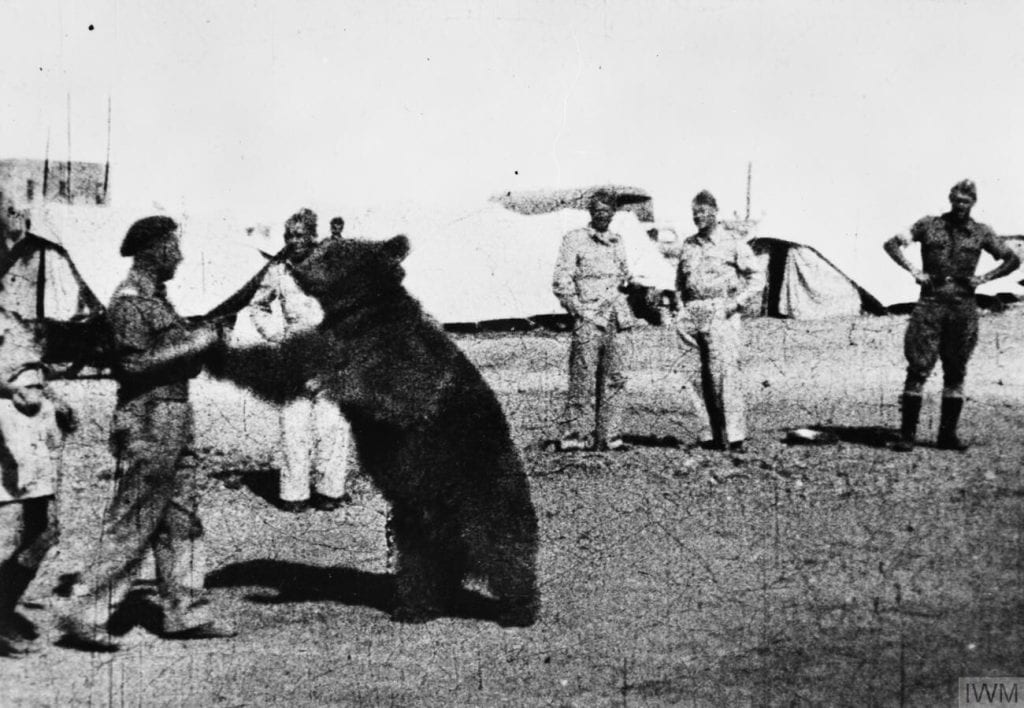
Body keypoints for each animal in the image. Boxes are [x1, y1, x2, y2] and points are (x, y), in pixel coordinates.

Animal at [209, 235, 540, 627]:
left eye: (331, 249)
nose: (295, 254)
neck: (357, 312)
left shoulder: (397, 353)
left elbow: (391, 390)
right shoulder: (329, 340)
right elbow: (281, 366)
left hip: (479, 488)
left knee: (501, 547)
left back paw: (518, 608)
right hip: (417, 518)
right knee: (419, 565)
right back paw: (415, 606)